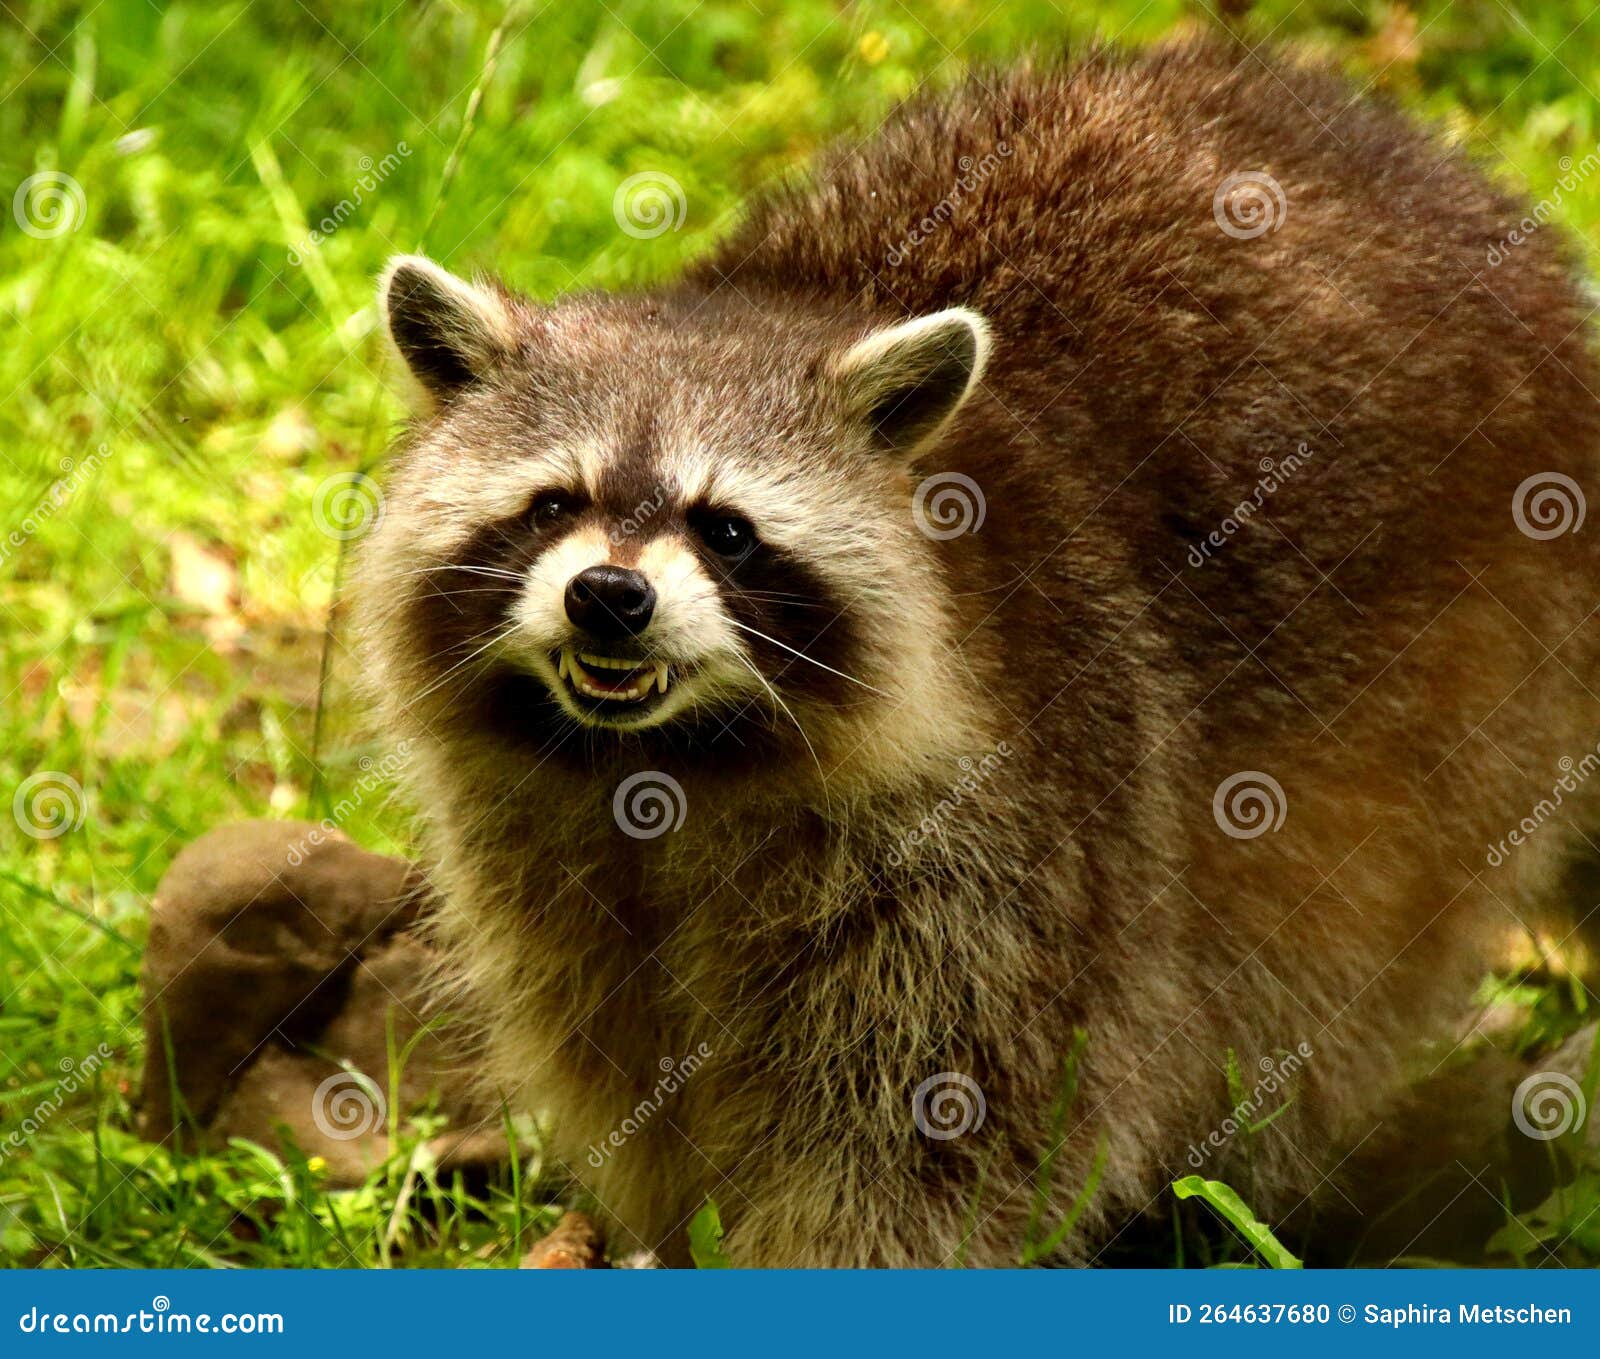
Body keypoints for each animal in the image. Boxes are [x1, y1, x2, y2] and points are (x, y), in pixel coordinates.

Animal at [353, 39, 1600, 1266]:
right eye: (553, 504)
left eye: (726, 530)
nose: (609, 598)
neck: (664, 768)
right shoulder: (546, 856)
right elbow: (625, 1063)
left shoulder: (1004, 840)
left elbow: (928, 1132)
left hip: (1458, 691)